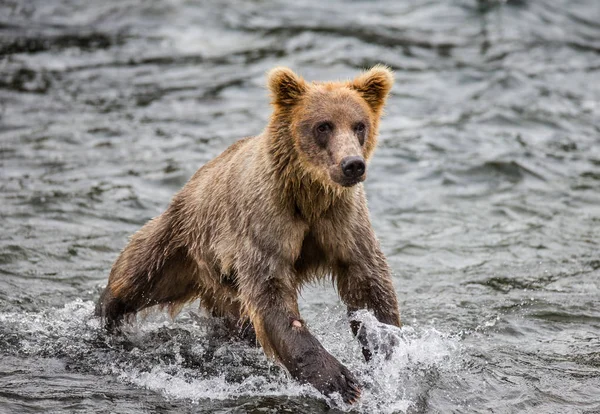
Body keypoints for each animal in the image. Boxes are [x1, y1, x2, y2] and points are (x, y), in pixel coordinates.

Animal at [94, 66, 400, 402]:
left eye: (359, 125)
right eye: (323, 126)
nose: (352, 165)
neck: (309, 196)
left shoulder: (343, 222)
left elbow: (367, 284)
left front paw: (387, 351)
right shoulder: (266, 221)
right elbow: (271, 293)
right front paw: (339, 379)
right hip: (178, 244)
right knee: (132, 279)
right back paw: (103, 320)